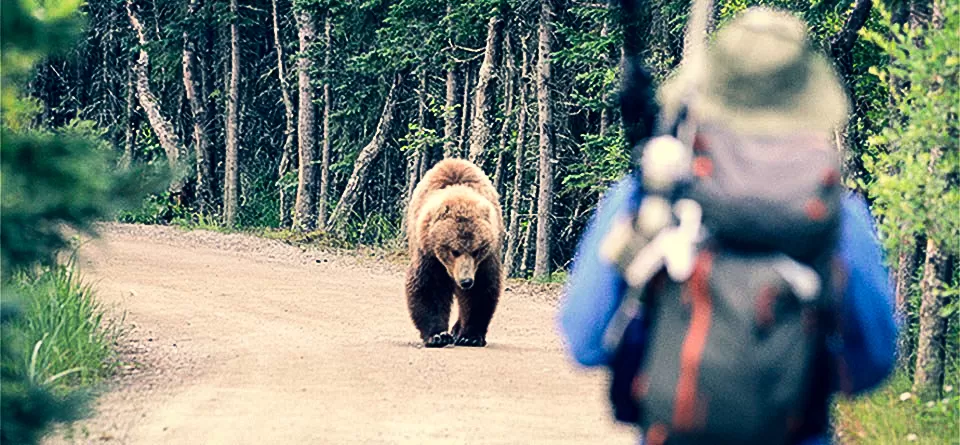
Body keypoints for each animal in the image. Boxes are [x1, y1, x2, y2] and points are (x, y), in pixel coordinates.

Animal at [404, 156, 506, 346]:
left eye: (476, 250)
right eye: (454, 251)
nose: (466, 281)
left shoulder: (484, 260)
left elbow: (480, 291)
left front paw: (470, 336)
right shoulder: (429, 254)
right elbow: (429, 287)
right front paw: (437, 335)